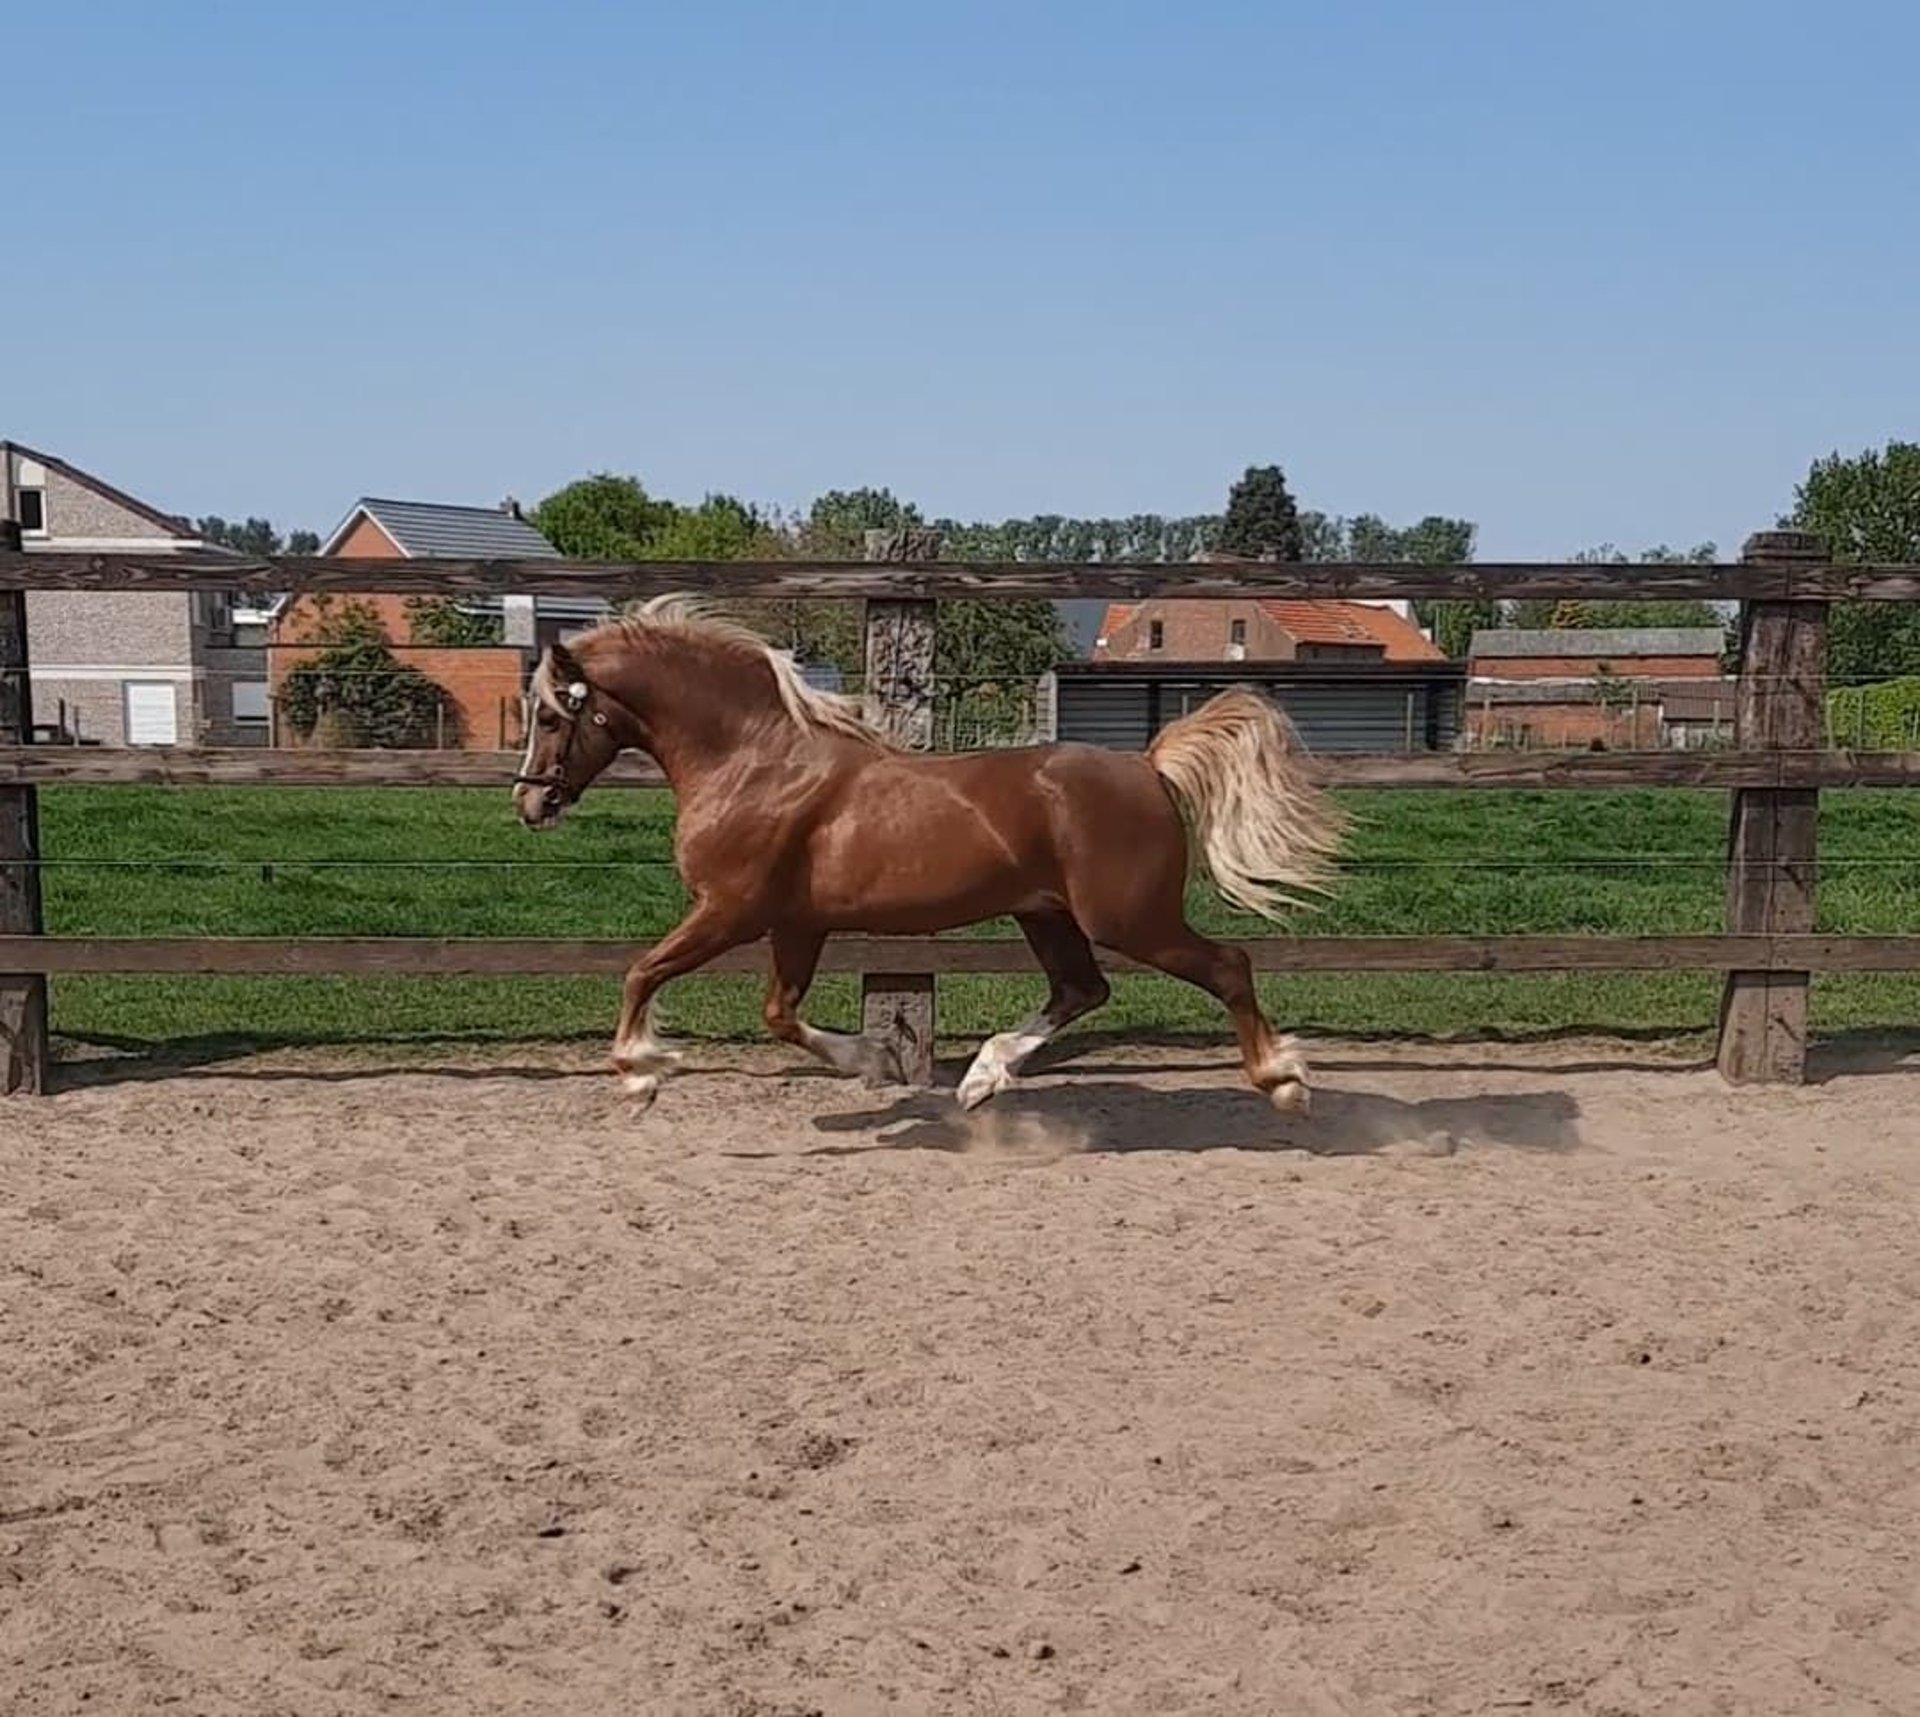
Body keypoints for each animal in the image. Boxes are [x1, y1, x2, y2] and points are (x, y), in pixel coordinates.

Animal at [510, 595, 1348, 1116]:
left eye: (551, 716)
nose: (530, 804)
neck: (753, 762)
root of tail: (1147, 766)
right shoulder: (797, 923)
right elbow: (779, 1012)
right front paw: (877, 1061)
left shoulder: (730, 911)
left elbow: (641, 971)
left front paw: (638, 1077)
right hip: (1046, 915)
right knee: (1082, 989)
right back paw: (982, 1078)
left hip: (1130, 918)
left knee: (1227, 966)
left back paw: (1283, 1082)